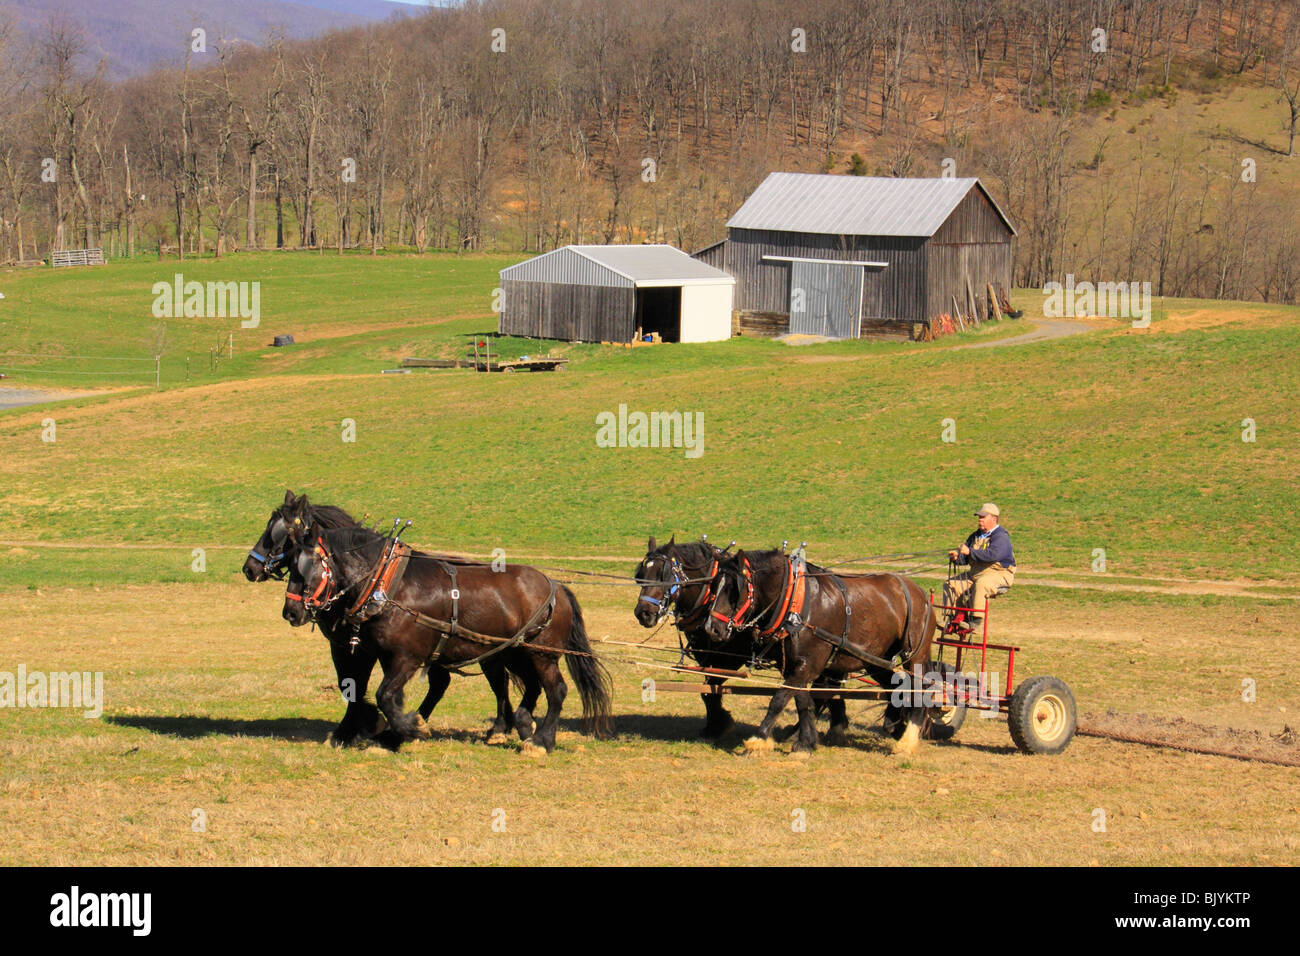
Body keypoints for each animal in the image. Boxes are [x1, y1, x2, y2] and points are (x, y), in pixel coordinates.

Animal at [284, 524, 613, 752]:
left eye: (306, 567)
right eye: (289, 565)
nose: (291, 612)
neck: (388, 583)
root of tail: (556, 586)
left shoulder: (407, 657)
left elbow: (385, 695)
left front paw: (411, 729)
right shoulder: (385, 655)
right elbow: (387, 696)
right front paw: (393, 734)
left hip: (541, 653)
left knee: (556, 689)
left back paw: (542, 740)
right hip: (515, 652)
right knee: (532, 686)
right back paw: (522, 725)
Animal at [701, 548, 938, 755]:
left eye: (734, 589)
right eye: (714, 586)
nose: (712, 628)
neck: (796, 602)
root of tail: (920, 594)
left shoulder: (808, 664)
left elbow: (780, 699)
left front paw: (758, 739)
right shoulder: (795, 666)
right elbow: (803, 701)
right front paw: (805, 743)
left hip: (914, 655)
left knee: (920, 688)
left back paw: (907, 741)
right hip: (876, 659)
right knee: (896, 685)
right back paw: (895, 726)